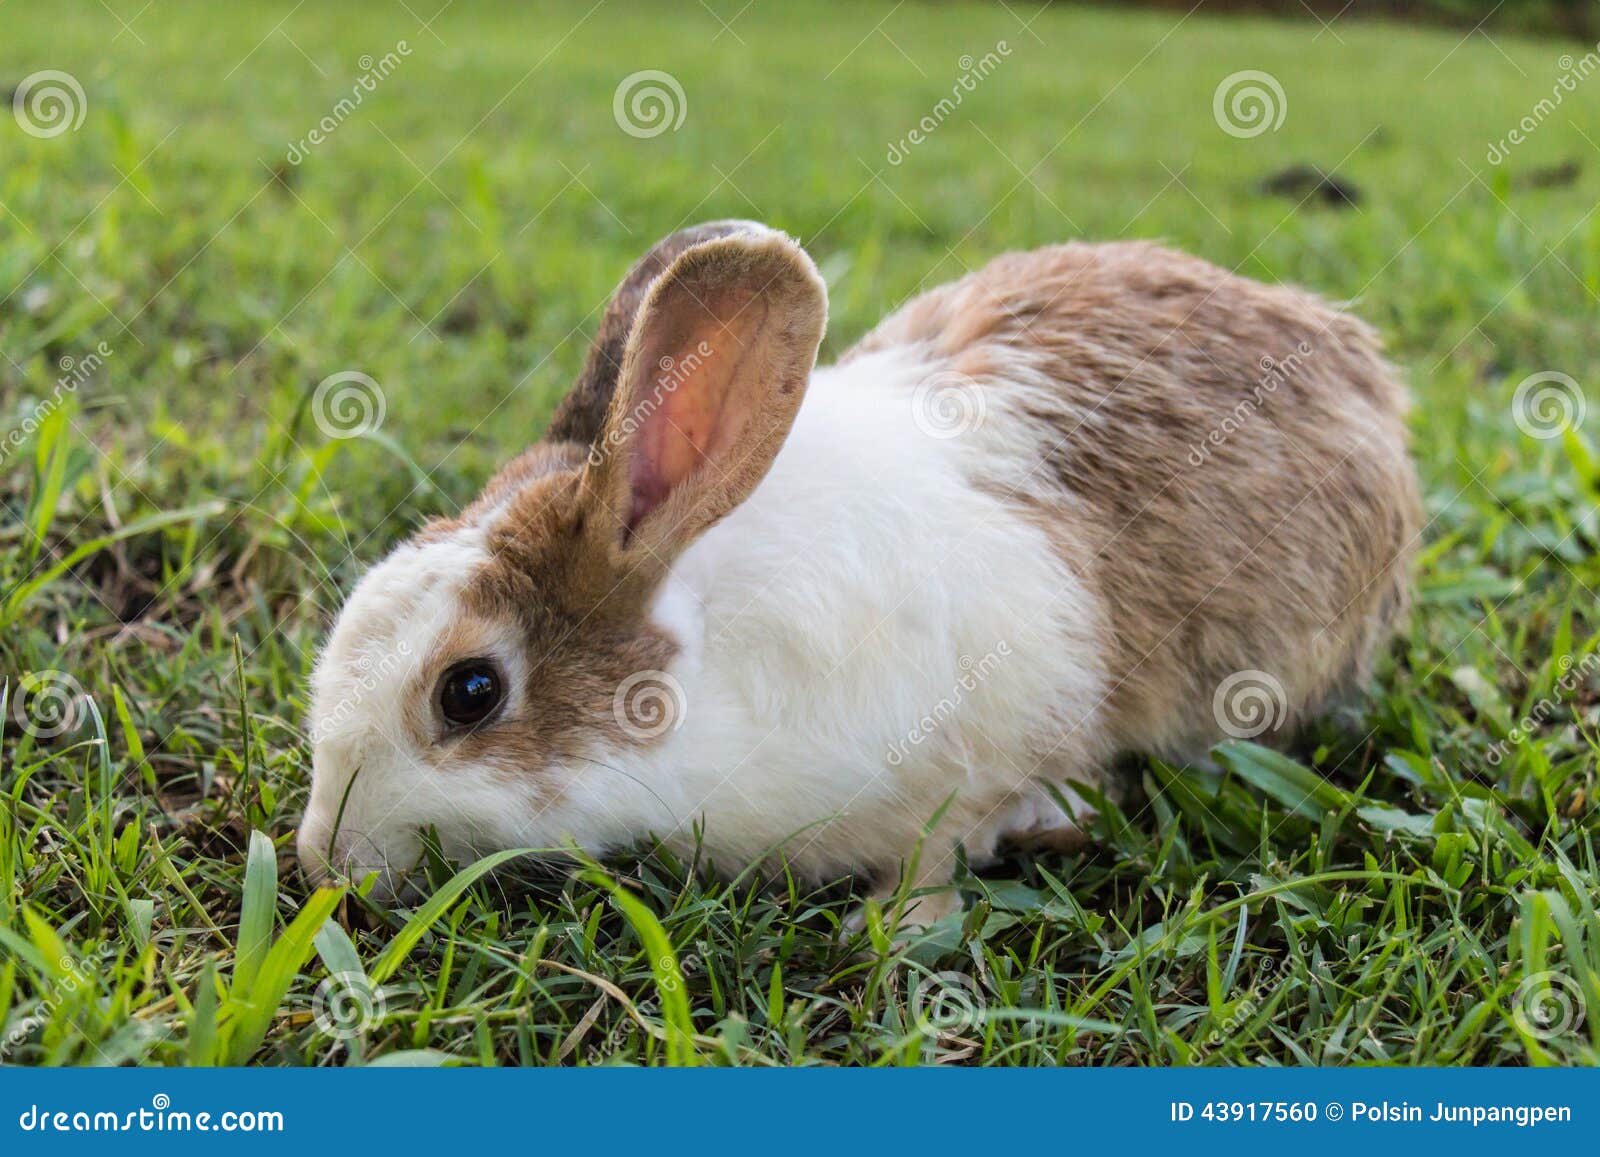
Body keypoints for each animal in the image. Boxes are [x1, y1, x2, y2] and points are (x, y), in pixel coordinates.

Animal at [298, 220, 1420, 928]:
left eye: (470, 691)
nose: (321, 857)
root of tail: (1362, 372)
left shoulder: (988, 729)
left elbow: (947, 842)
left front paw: (900, 926)